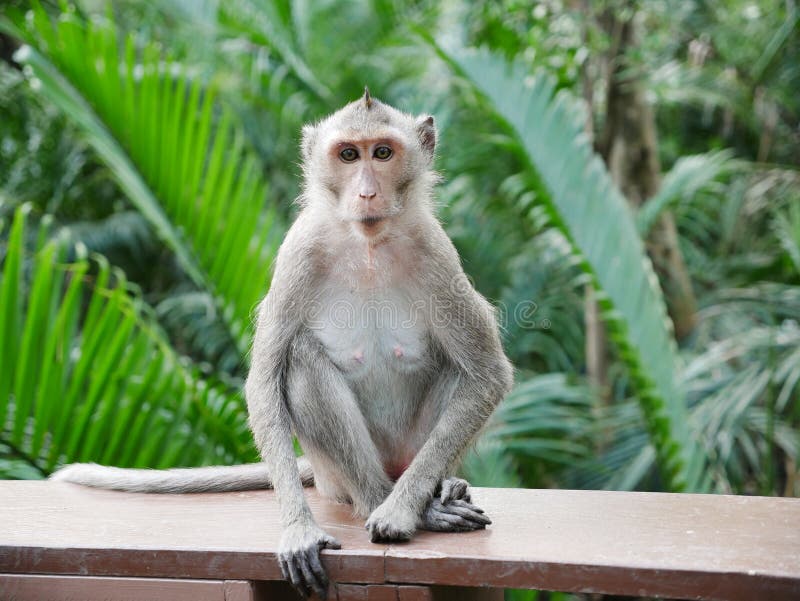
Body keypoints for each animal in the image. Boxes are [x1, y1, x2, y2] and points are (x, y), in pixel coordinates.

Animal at [51, 89, 514, 599]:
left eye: (383, 153)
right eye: (348, 155)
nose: (366, 193)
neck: (368, 244)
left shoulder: (436, 252)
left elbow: (488, 374)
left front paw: (399, 511)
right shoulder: (299, 251)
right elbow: (266, 380)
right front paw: (298, 528)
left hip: (410, 453)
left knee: (458, 371)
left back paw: (426, 495)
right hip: (336, 477)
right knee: (301, 362)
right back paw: (391, 499)